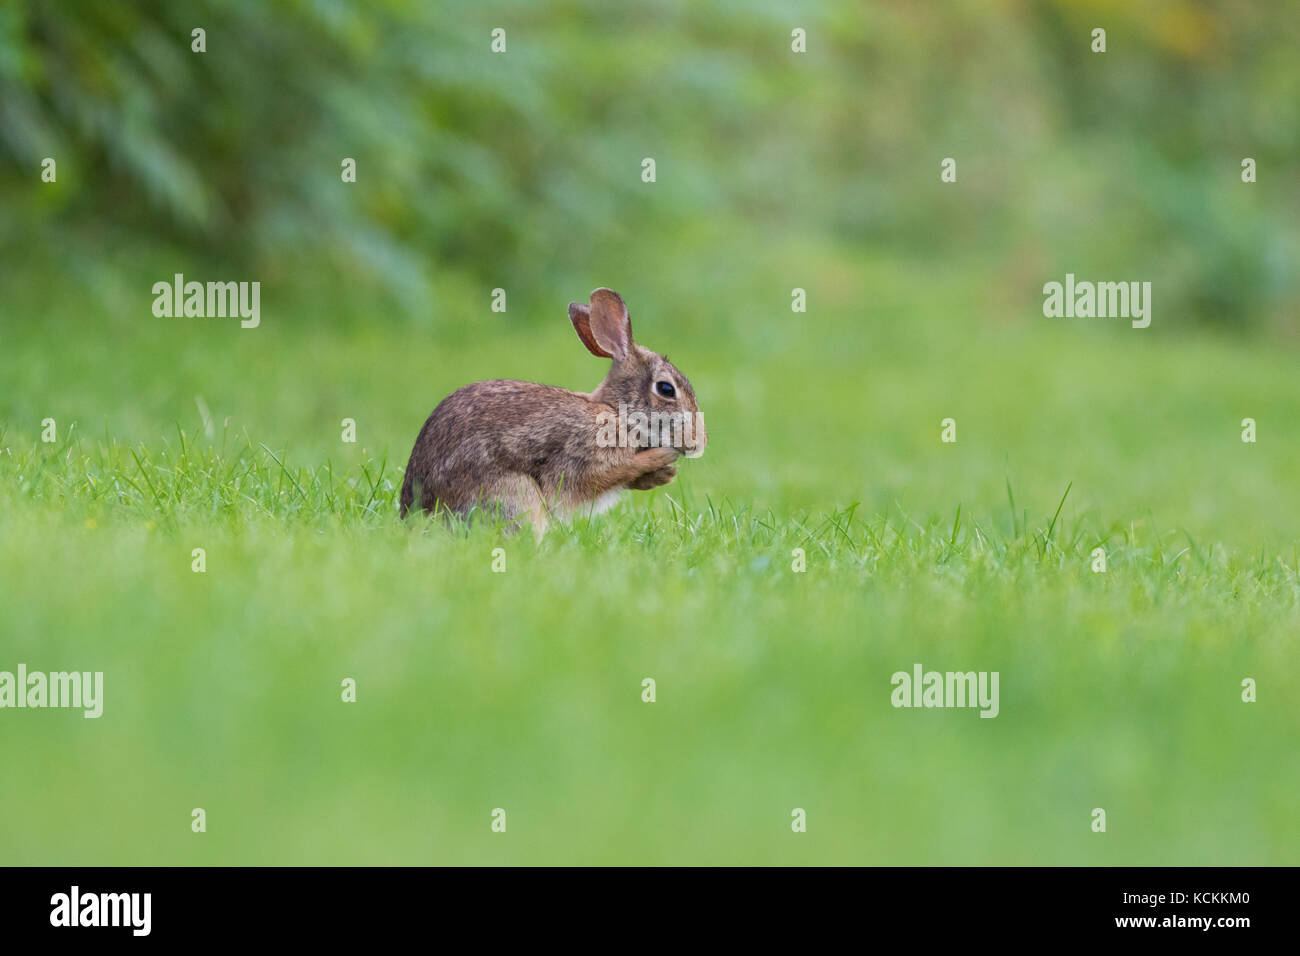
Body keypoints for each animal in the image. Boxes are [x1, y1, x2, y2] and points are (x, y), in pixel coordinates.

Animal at [399, 288, 706, 535]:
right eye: (666, 389)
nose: (699, 443)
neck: (616, 412)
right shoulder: (581, 457)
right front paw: (662, 458)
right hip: (514, 494)